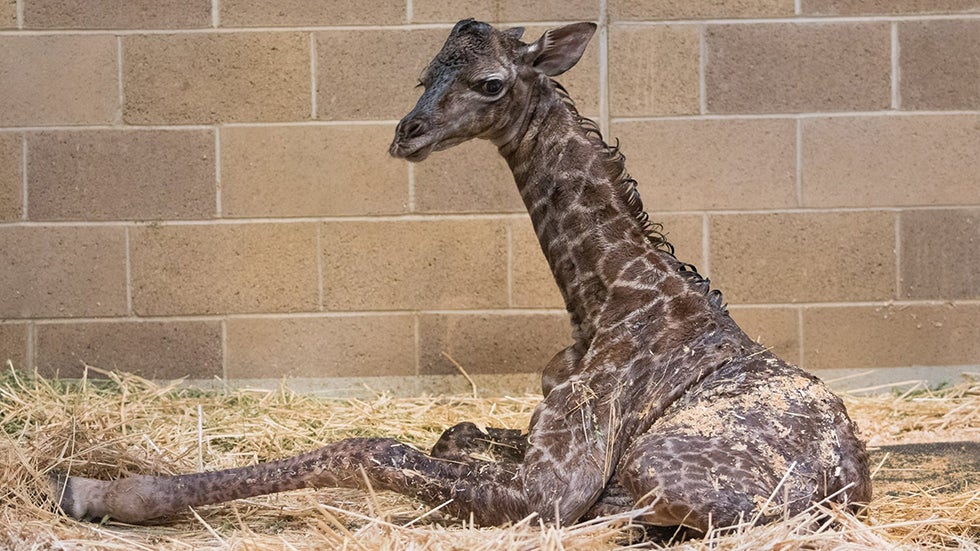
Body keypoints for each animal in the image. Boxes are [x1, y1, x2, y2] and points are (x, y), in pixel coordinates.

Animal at [51, 20, 871, 533]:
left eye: (490, 83)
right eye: (424, 74)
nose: (406, 133)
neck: (605, 293)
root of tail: (850, 486)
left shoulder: (554, 487)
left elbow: (373, 448)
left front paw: (101, 488)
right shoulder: (535, 434)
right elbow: (456, 431)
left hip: (664, 465)